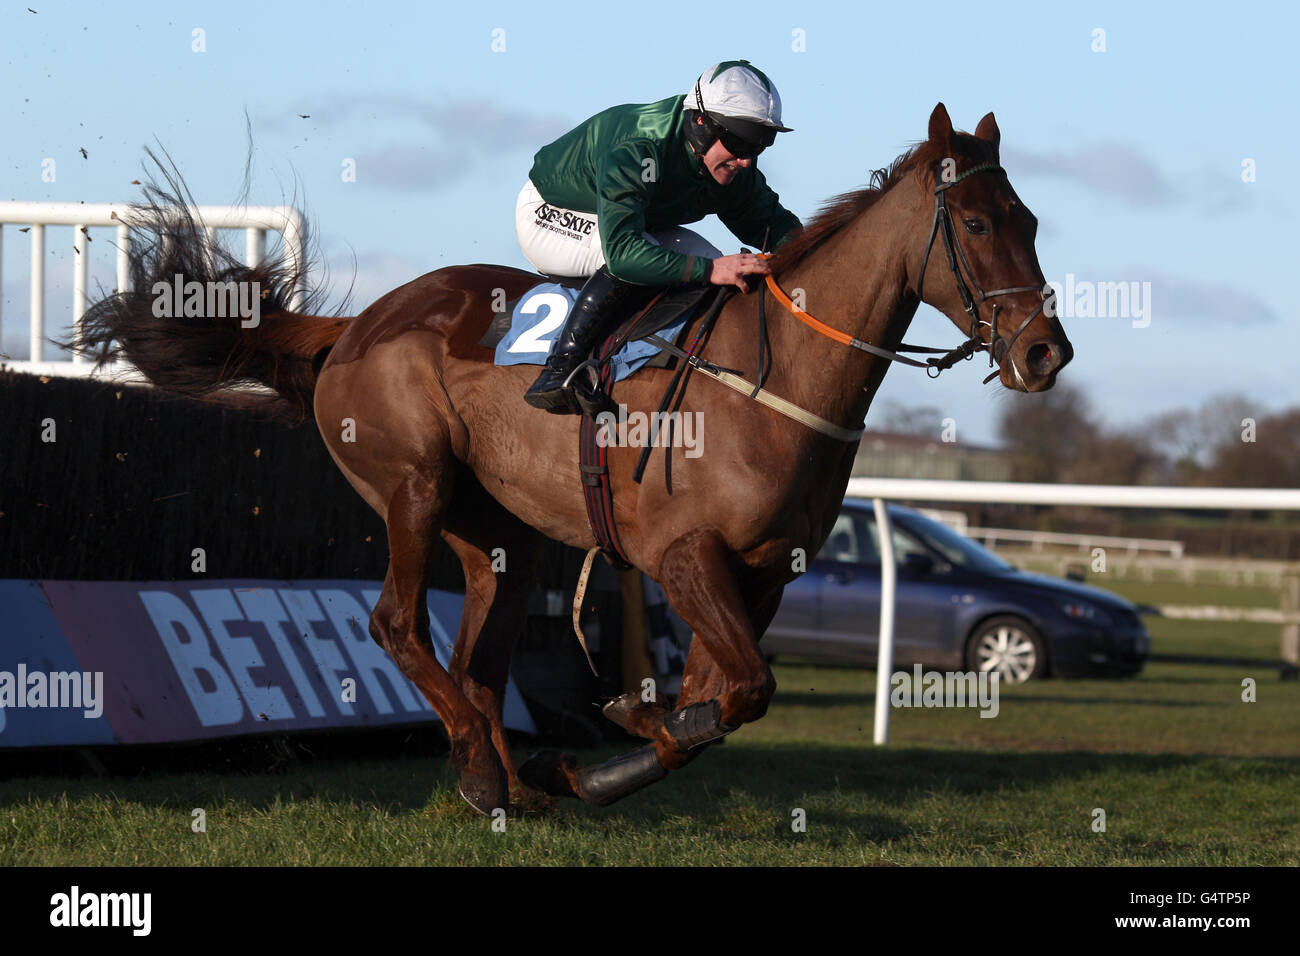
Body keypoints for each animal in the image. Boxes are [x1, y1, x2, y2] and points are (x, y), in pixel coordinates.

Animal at [80, 103, 1072, 814]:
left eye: (1028, 217)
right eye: (974, 223)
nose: (1044, 353)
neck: (776, 380)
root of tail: (355, 324)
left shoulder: (764, 572)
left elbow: (722, 703)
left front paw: (612, 747)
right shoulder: (684, 556)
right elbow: (741, 691)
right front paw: (620, 735)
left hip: (498, 533)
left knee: (479, 662)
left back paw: (504, 777)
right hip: (413, 486)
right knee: (396, 625)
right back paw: (485, 771)